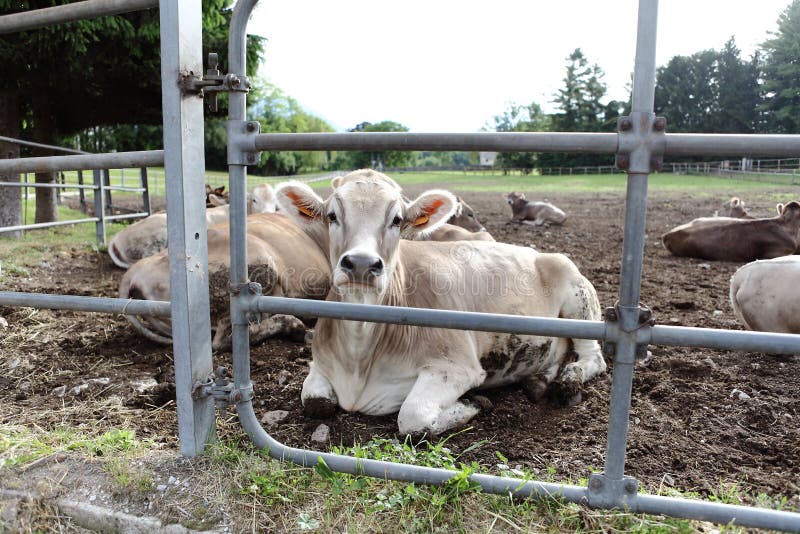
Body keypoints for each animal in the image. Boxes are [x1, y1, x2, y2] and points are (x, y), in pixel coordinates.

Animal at [275, 169, 606, 436]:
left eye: (397, 220)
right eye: (332, 216)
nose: (360, 263)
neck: (358, 357)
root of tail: (535, 251)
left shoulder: (457, 366)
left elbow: (412, 416)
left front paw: (473, 403)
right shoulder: (320, 362)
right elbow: (315, 401)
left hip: (579, 300)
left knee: (593, 357)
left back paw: (569, 379)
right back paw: (538, 380)